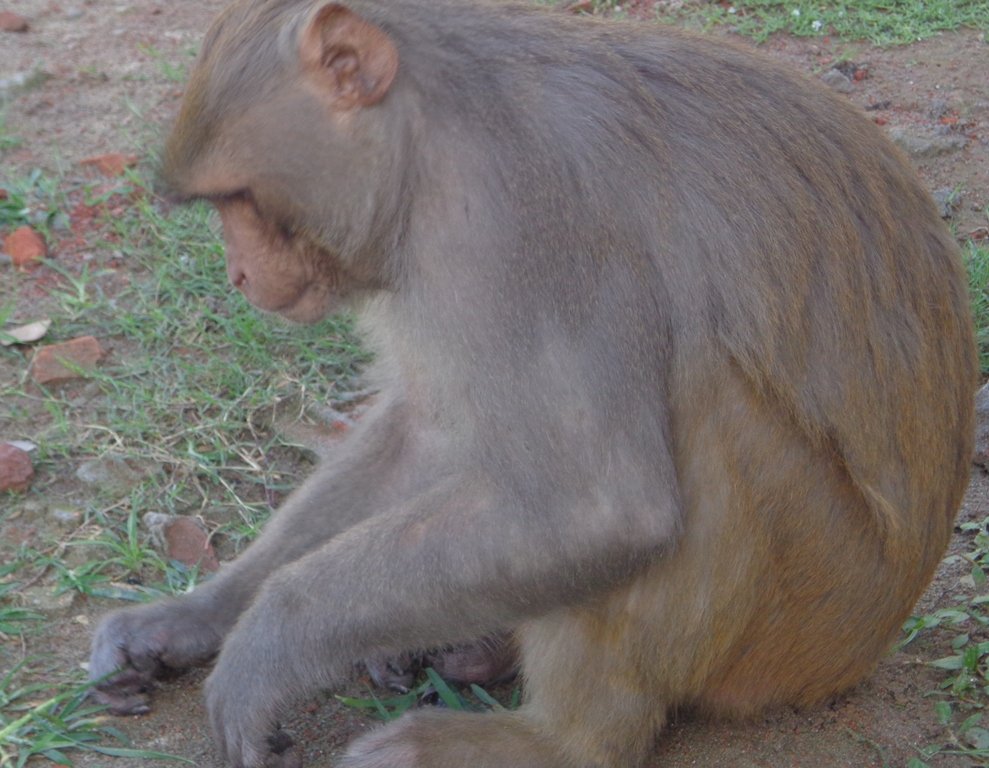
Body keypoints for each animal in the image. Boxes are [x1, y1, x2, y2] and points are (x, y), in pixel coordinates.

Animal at [87, 0, 977, 766]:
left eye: (239, 198)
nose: (238, 274)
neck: (433, 133)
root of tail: (864, 649)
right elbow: (431, 429)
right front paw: (193, 617)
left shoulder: (514, 217)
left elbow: (596, 507)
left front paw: (264, 649)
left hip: (803, 624)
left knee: (692, 397)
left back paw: (555, 742)